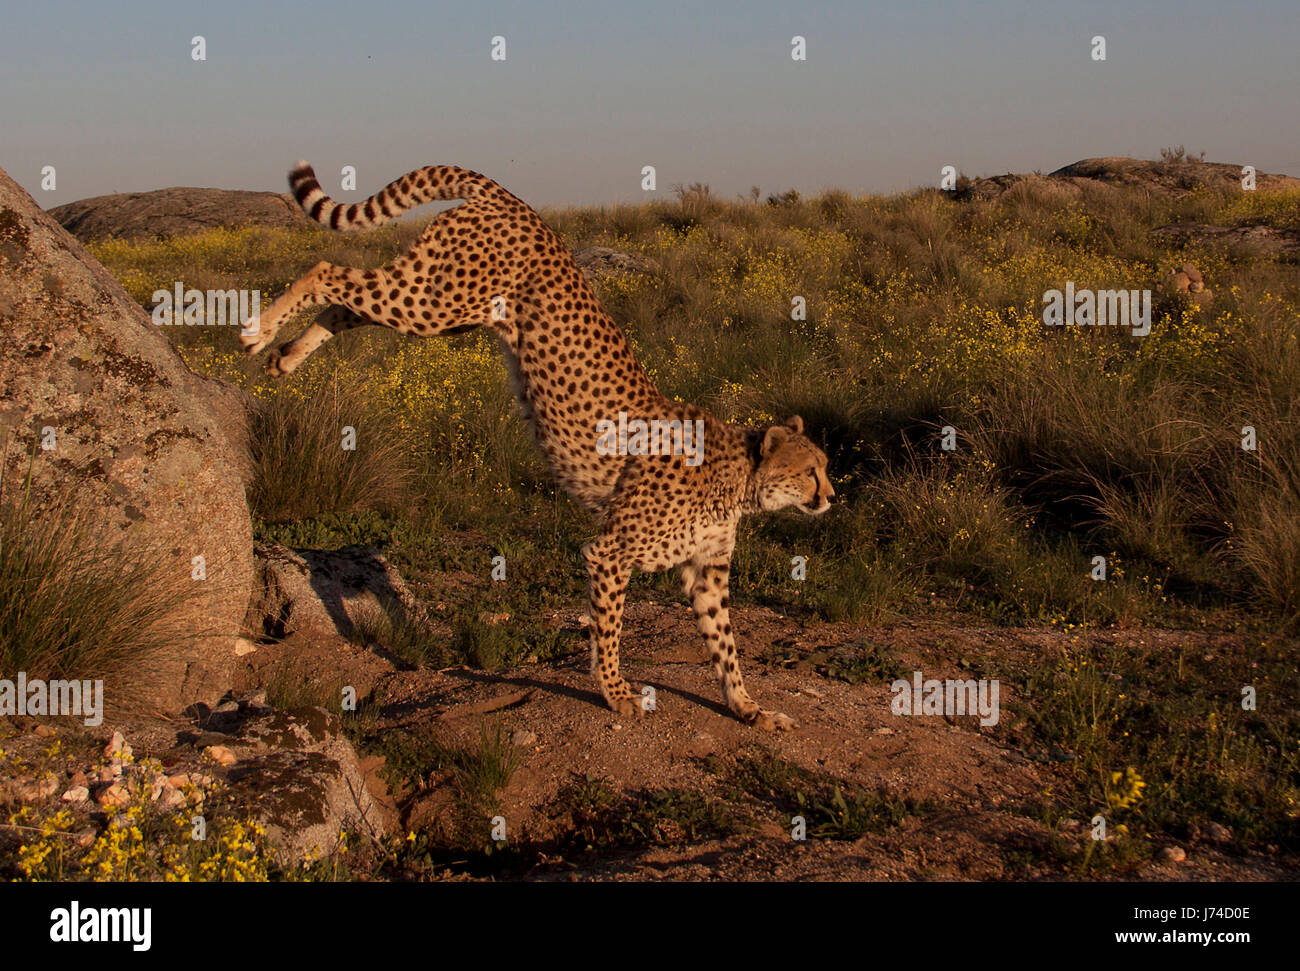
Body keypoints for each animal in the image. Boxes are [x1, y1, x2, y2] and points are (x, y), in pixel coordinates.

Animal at [241, 160, 835, 730]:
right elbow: (610, 630)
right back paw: (256, 329)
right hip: (439, 300)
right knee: (328, 271)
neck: (738, 477)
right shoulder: (609, 553)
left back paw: (284, 356)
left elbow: (726, 647)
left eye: (826, 467)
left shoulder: (706, 573)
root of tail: (516, 202)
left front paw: (749, 708)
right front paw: (617, 693)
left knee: (347, 303)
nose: (831, 497)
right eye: (810, 470)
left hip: (443, 309)